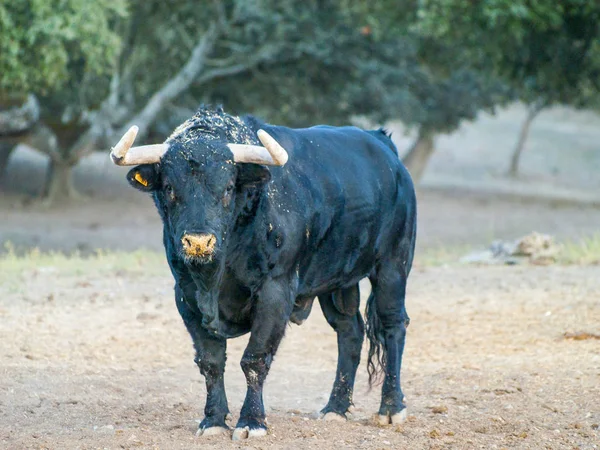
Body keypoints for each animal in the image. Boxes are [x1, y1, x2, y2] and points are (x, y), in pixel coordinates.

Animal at [122, 109, 418, 440]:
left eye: (228, 187)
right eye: (170, 188)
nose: (198, 242)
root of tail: (382, 144)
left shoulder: (275, 291)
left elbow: (255, 358)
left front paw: (251, 421)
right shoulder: (186, 296)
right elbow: (211, 361)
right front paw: (213, 420)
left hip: (393, 265)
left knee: (393, 325)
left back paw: (391, 408)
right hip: (338, 281)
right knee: (350, 330)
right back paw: (336, 408)